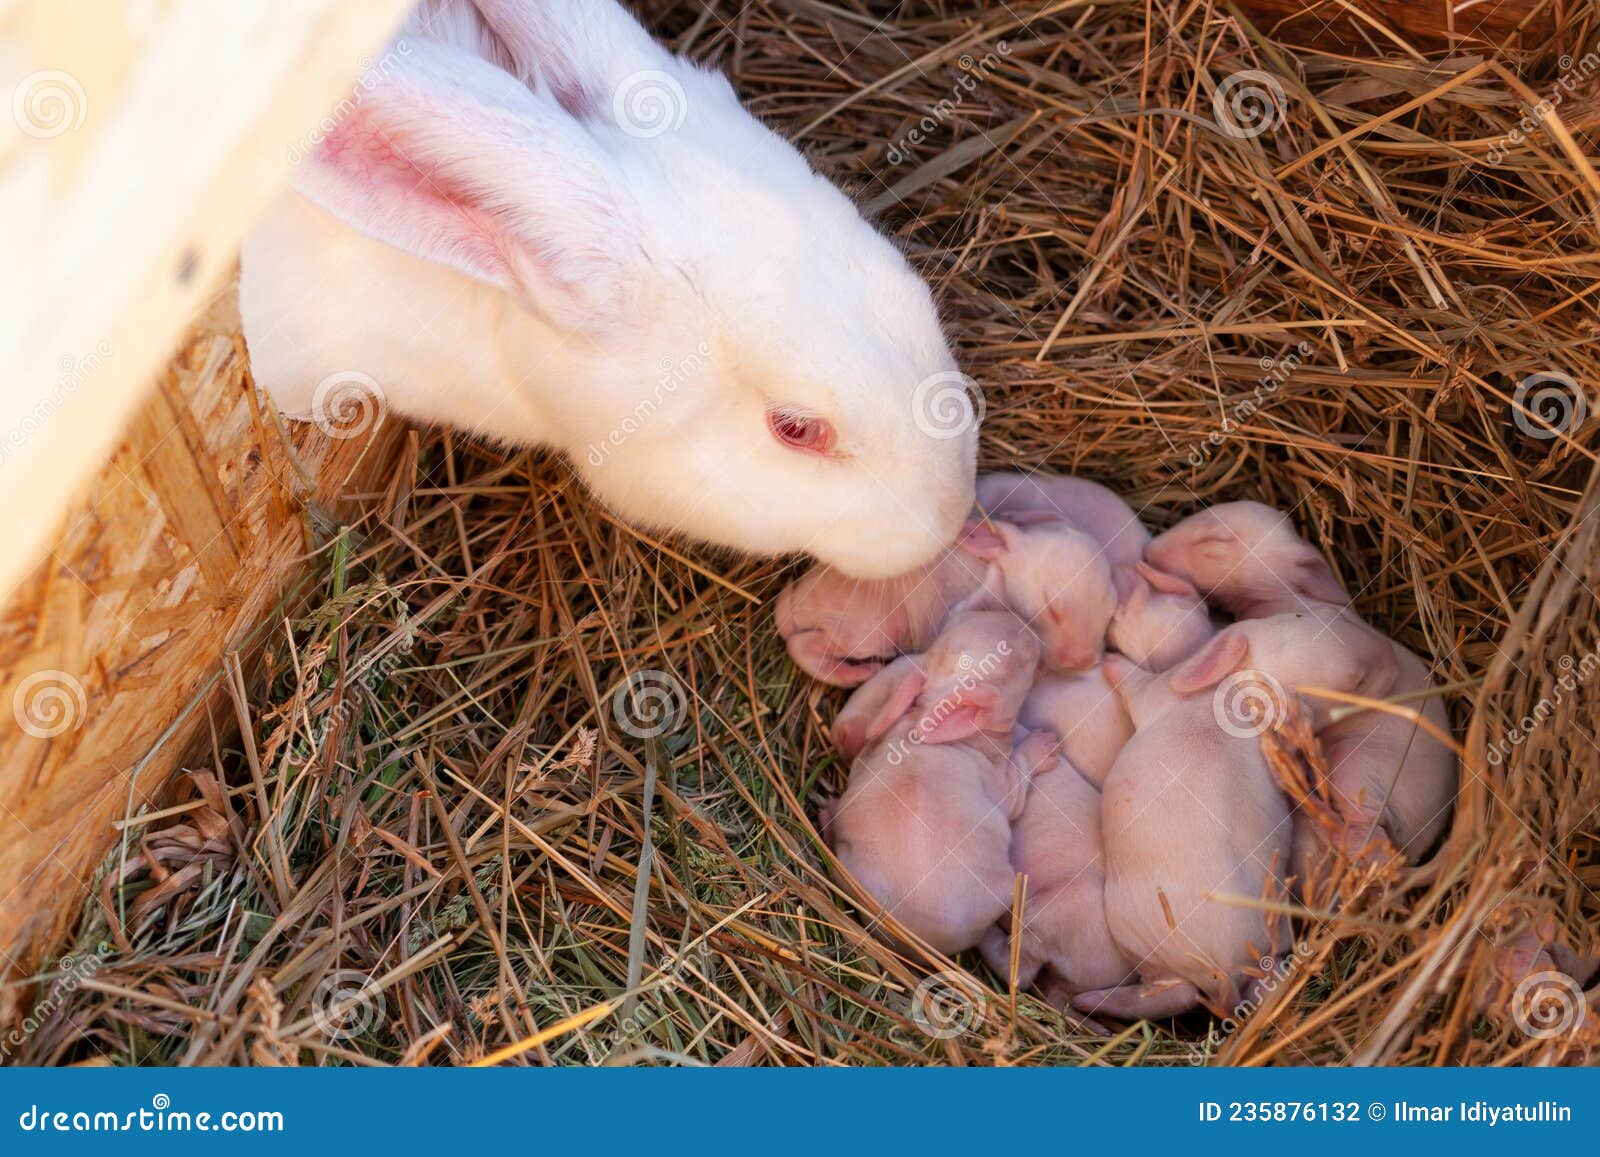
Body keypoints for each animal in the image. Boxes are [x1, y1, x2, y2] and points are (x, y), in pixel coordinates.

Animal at [1146, 501, 1456, 866]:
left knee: (1368, 840)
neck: (1283, 597)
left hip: (1361, 767)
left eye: (1215, 543)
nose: (1150, 551)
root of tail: (1423, 838)